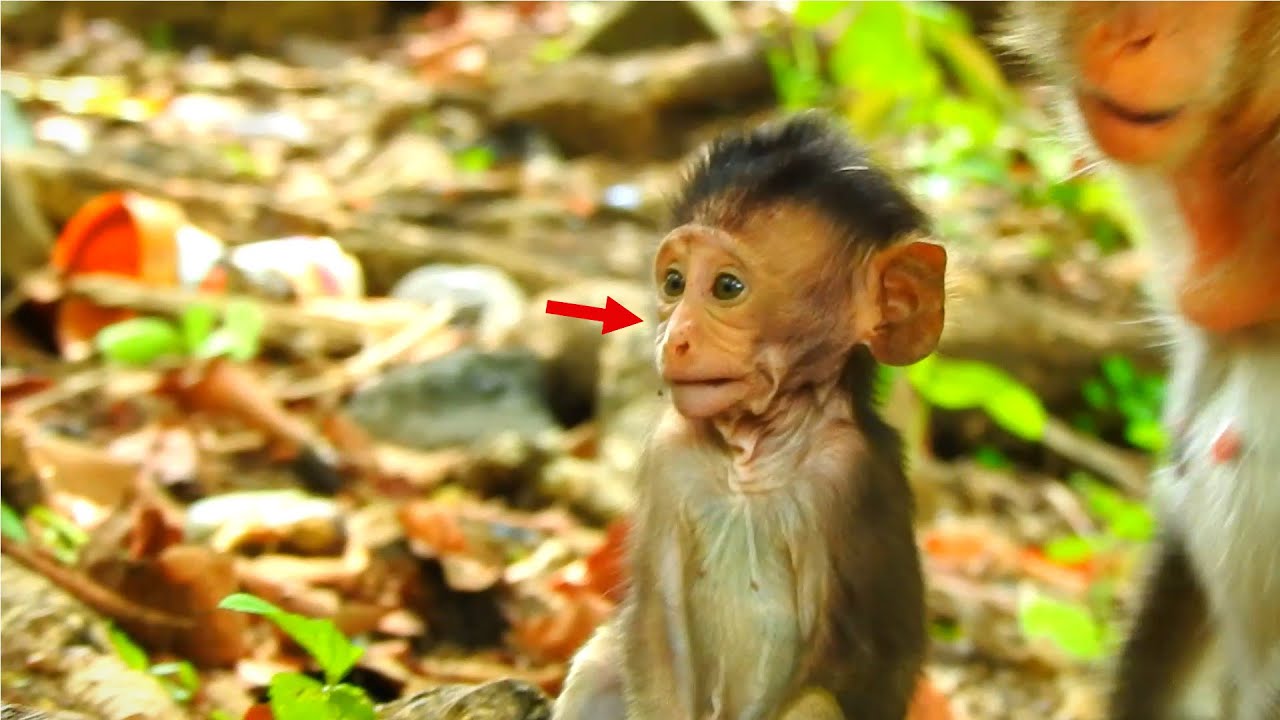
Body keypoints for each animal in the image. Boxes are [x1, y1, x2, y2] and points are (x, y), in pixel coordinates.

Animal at [551, 113, 945, 720]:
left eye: (727, 287)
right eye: (674, 283)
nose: (675, 338)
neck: (752, 458)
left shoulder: (848, 478)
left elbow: (854, 665)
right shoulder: (669, 456)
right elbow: (657, 631)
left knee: (815, 704)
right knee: (600, 661)